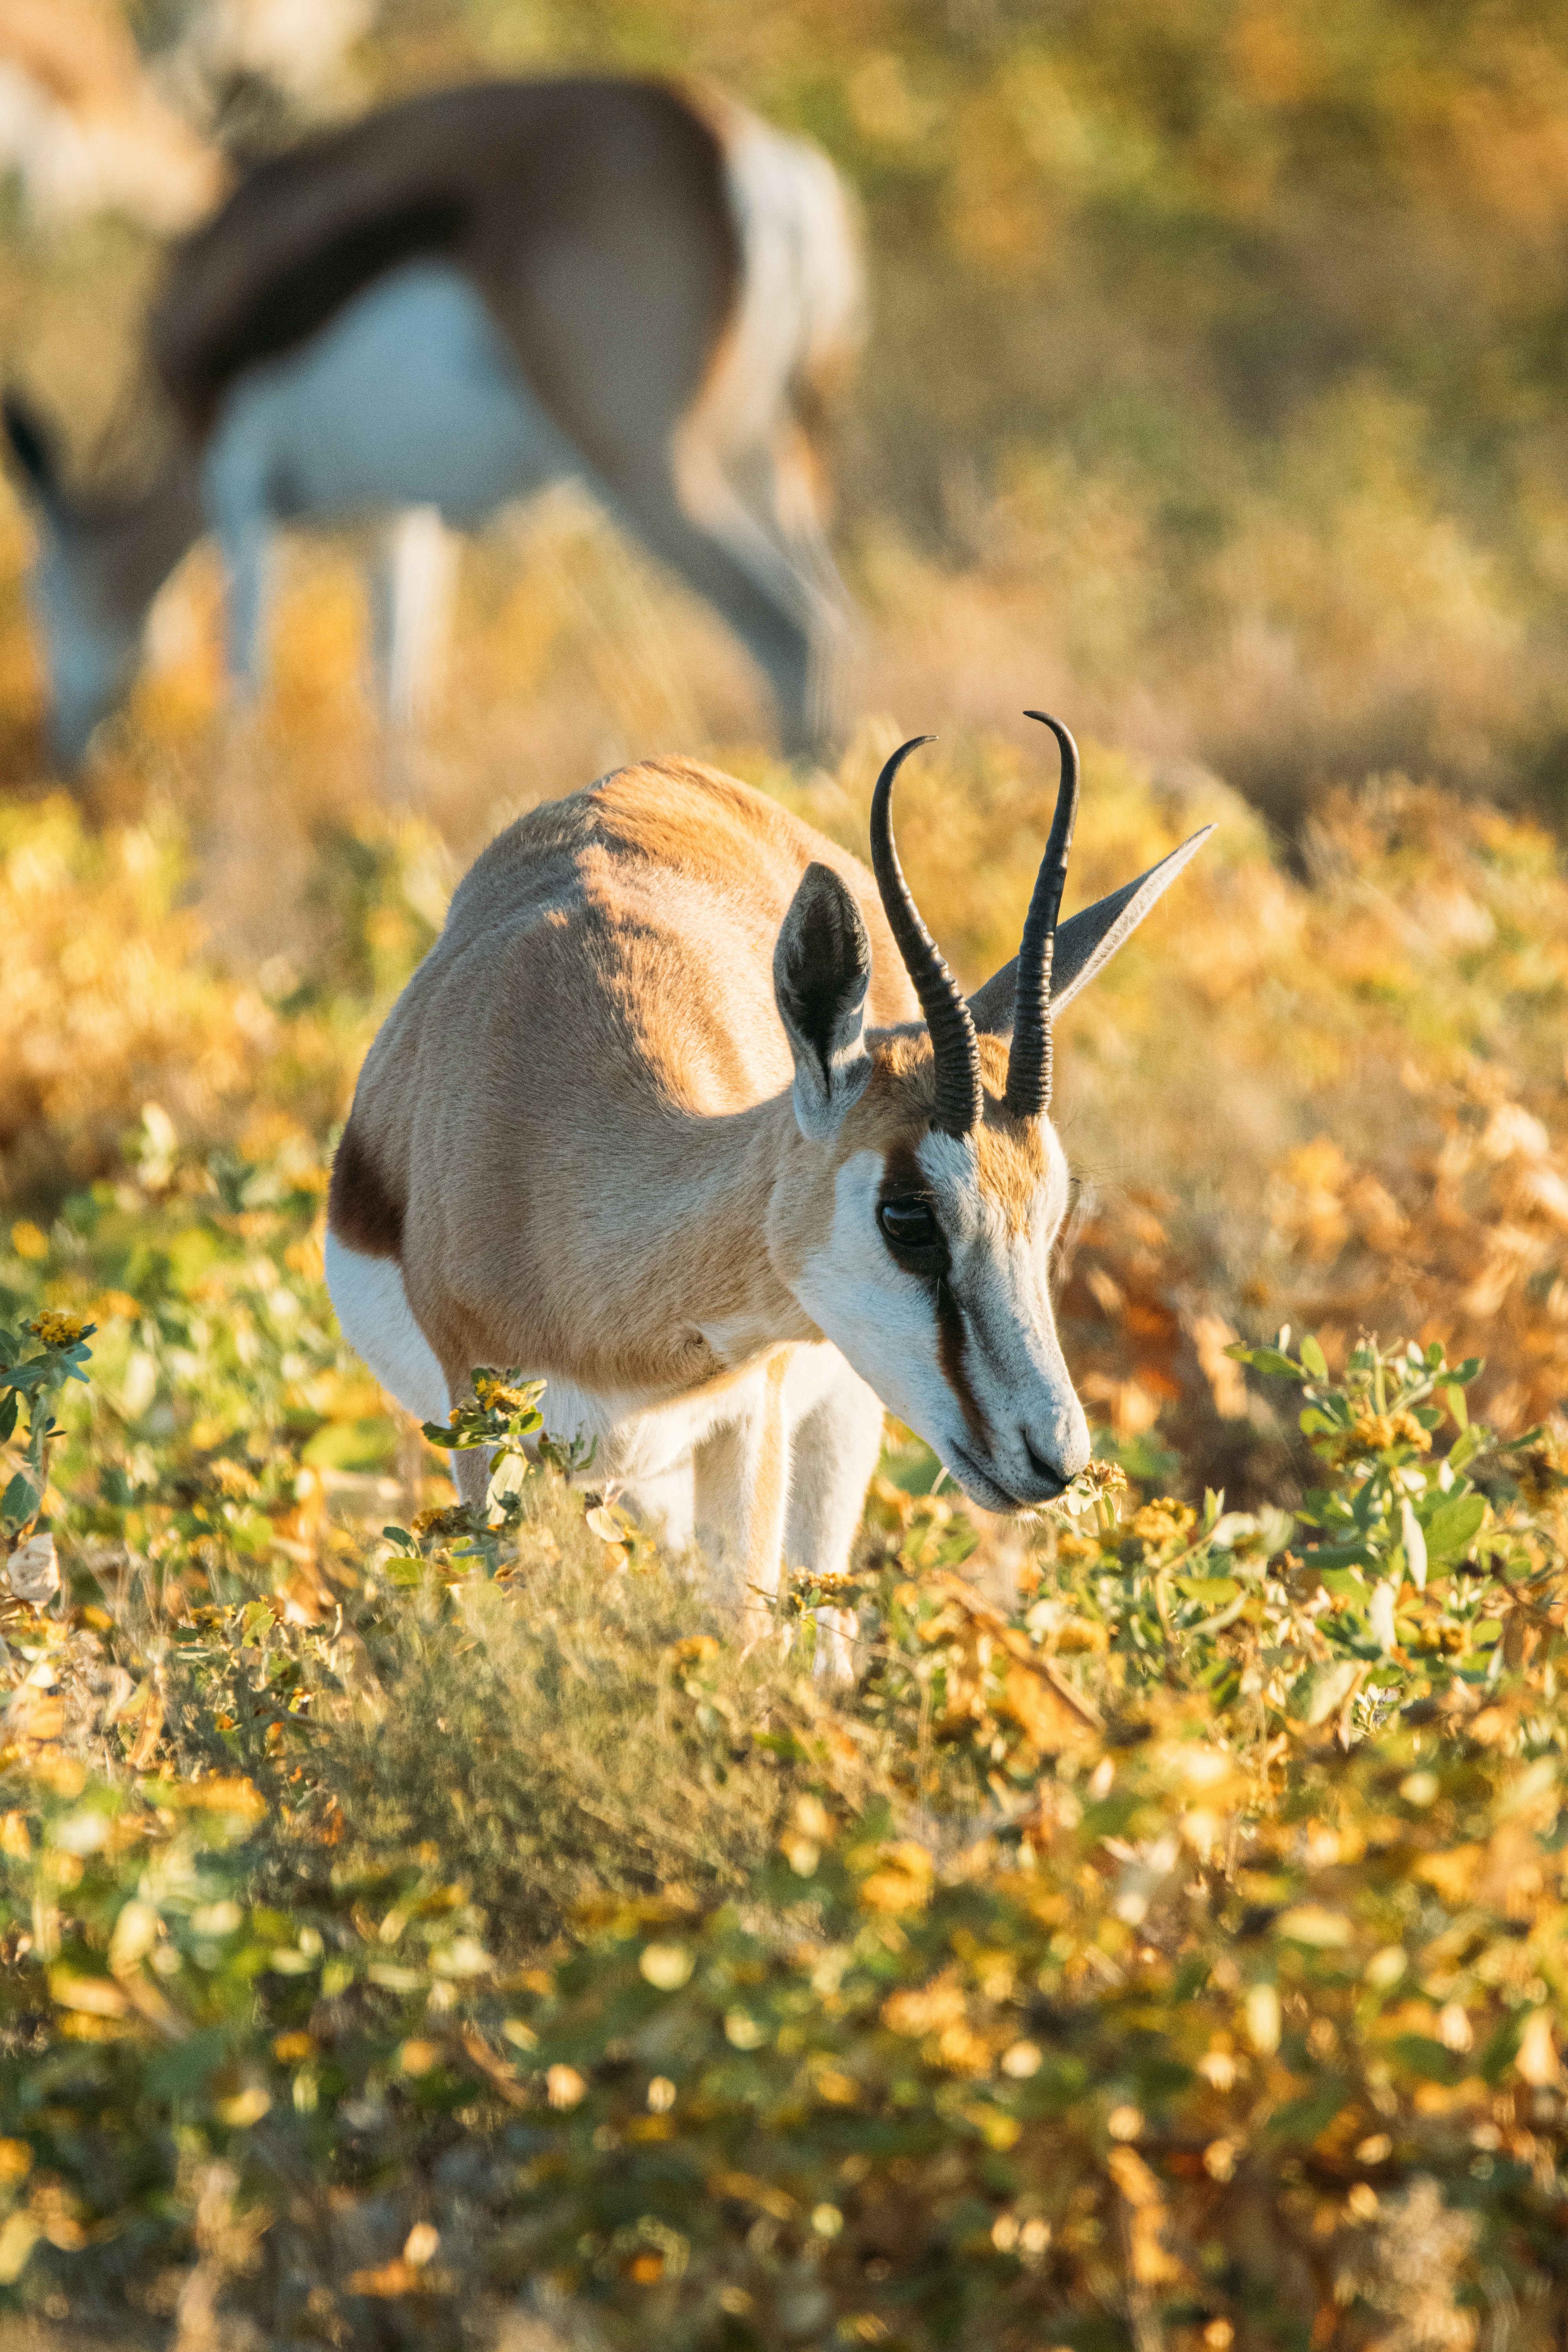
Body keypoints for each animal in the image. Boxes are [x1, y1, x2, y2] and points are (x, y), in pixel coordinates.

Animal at [2, 74, 863, 767]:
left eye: (40, 595)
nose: (63, 752)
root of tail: (751, 156)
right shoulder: (398, 513)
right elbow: (397, 693)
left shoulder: (233, 471)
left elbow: (247, 679)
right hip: (764, 464)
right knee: (838, 621)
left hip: (646, 472)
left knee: (795, 636)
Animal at [324, 717, 1212, 1665]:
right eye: (908, 1217)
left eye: (1050, 1214)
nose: (1054, 1459)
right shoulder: (484, 1437)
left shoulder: (751, 1414)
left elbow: (740, 1631)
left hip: (830, 1421)